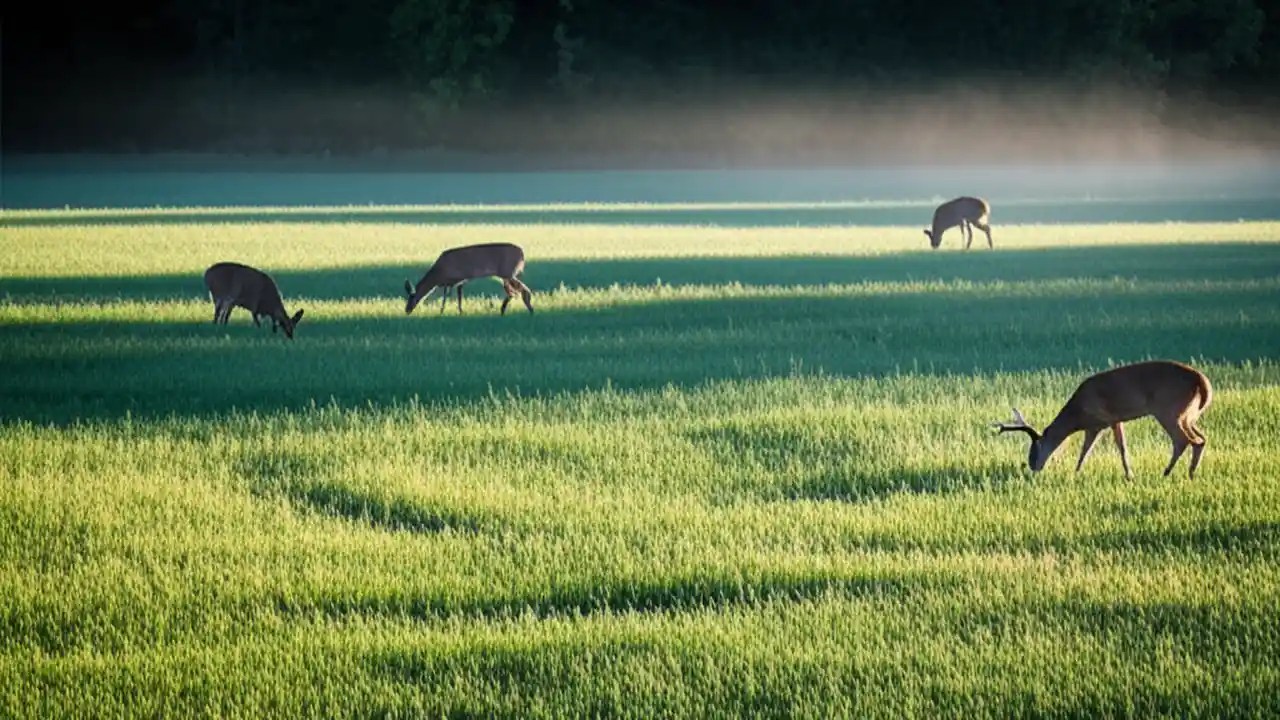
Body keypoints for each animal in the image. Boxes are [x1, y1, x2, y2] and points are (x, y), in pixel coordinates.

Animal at [404, 243, 534, 316]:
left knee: (520, 290)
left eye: (411, 298)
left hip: (507, 272)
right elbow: (456, 297)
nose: (407, 310)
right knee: (516, 291)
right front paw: (459, 312)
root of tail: (522, 254)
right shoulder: (455, 282)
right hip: (506, 274)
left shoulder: (455, 279)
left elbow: (449, 298)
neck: (437, 275)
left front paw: (443, 312)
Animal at [993, 361, 1212, 479]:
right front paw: (1076, 472)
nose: (1032, 466)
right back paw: (1190, 473)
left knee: (1184, 440)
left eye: (1035, 449)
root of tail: (1203, 383)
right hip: (1188, 416)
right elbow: (1085, 450)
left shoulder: (1110, 417)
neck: (1078, 413)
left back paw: (1168, 473)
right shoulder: (1096, 426)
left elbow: (1121, 448)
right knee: (1201, 439)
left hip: (1168, 410)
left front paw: (1129, 475)